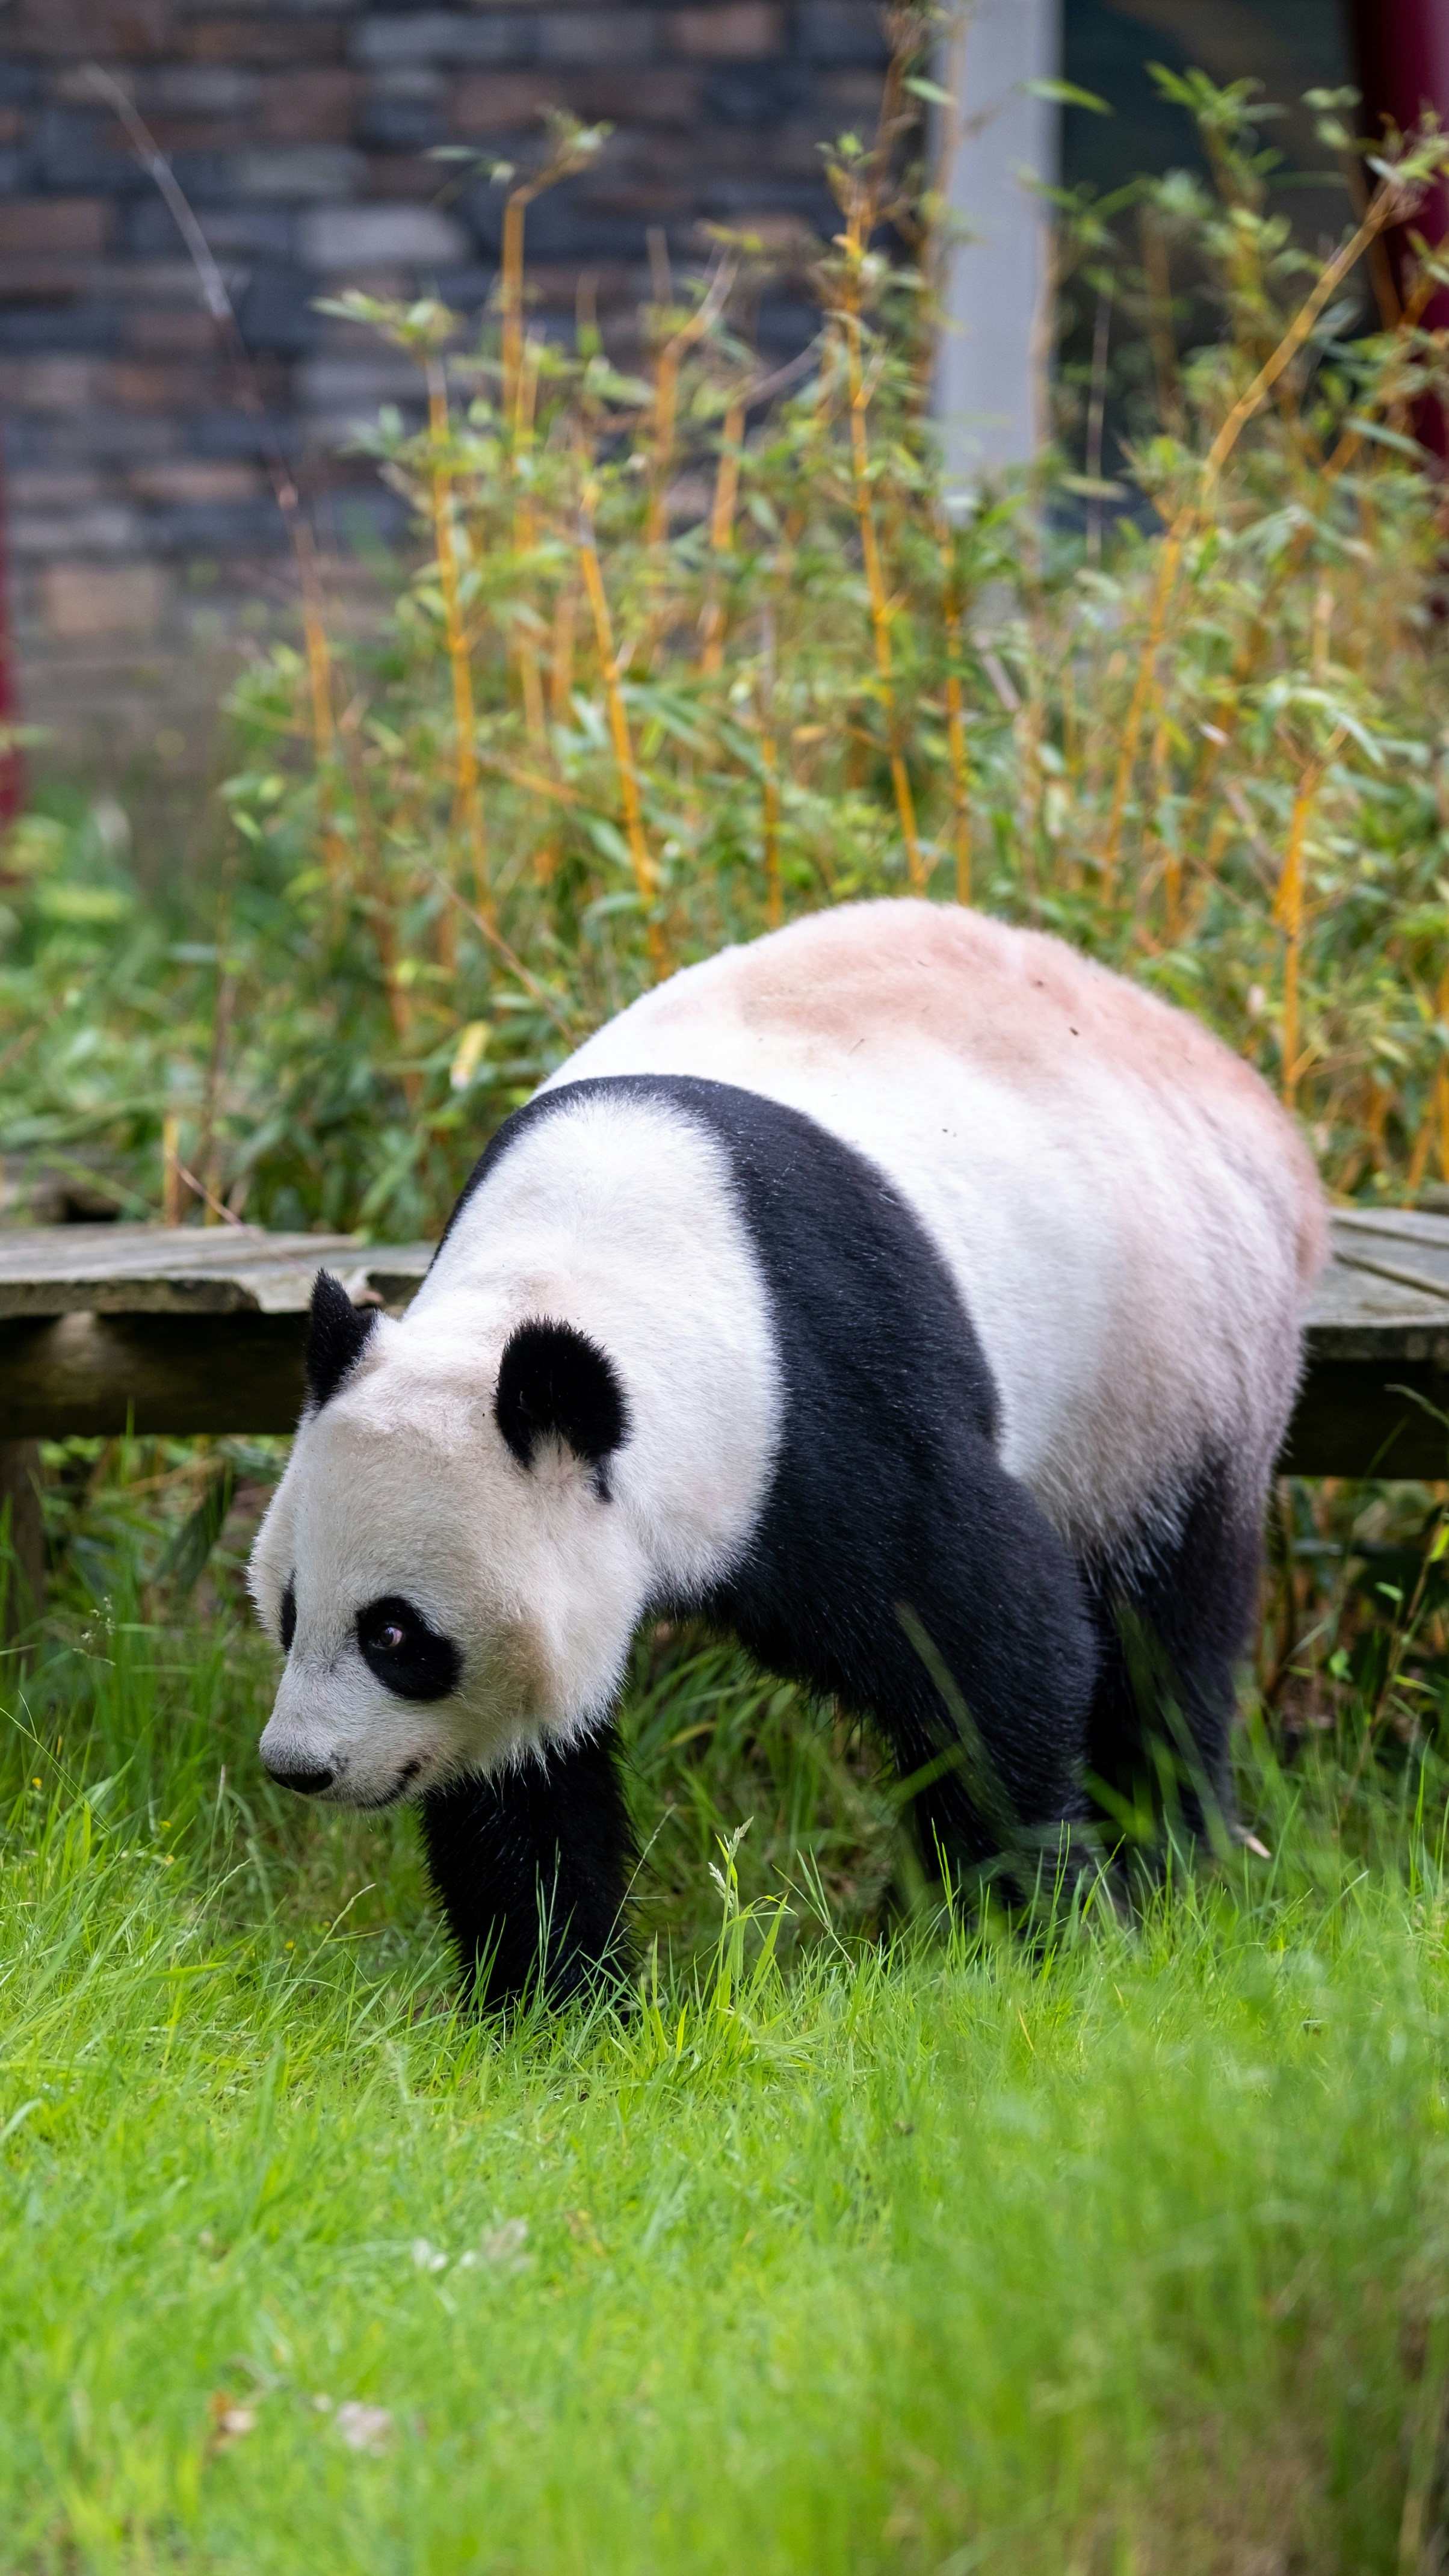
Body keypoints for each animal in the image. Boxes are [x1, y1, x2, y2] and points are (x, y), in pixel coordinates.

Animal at [249, 898, 1326, 2006]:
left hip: (1168, 1376)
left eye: (396, 1634)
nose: (298, 1765)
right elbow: (523, 1775)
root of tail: (1247, 1096)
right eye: (288, 1610)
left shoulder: (836, 1401)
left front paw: (1029, 1930)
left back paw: (1168, 1862)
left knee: (1165, 1627)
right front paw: (551, 1996)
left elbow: (994, 1643)